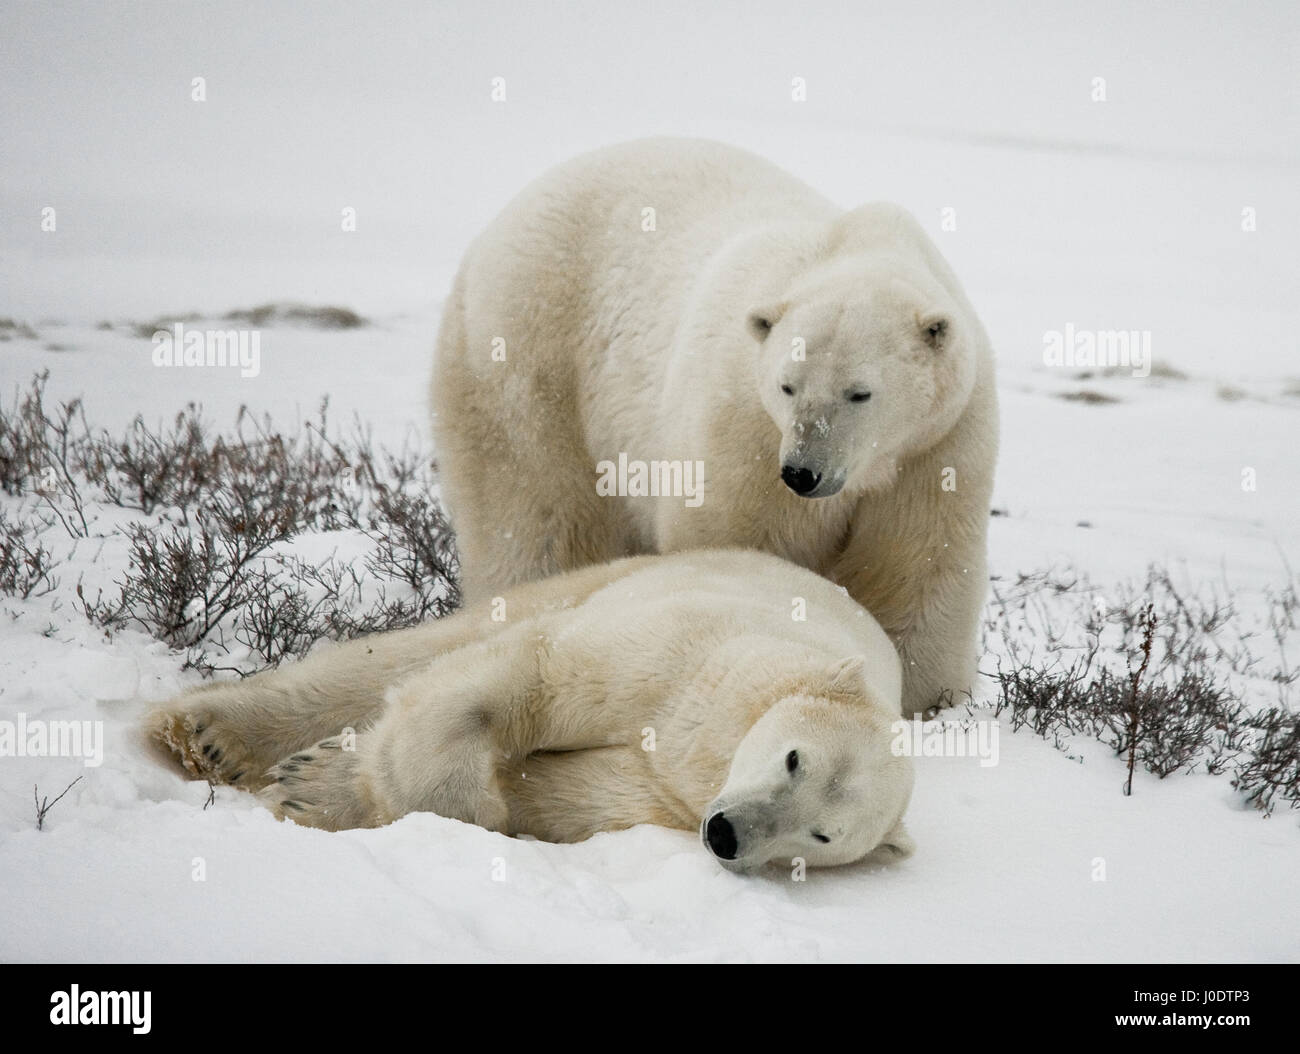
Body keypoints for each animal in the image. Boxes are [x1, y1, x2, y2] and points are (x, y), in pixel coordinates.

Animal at [145, 549, 914, 872]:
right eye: (793, 758)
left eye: (821, 834)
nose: (725, 833)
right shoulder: (689, 658)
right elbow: (534, 677)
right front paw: (321, 782)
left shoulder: (662, 796)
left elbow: (566, 794)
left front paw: (316, 787)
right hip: (625, 574)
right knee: (415, 651)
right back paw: (208, 734)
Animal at [431, 137, 999, 717]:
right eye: (787, 385)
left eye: (859, 392)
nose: (802, 473)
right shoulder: (746, 427)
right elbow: (738, 552)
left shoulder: (939, 445)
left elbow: (917, 569)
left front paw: (928, 704)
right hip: (529, 359)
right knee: (535, 515)